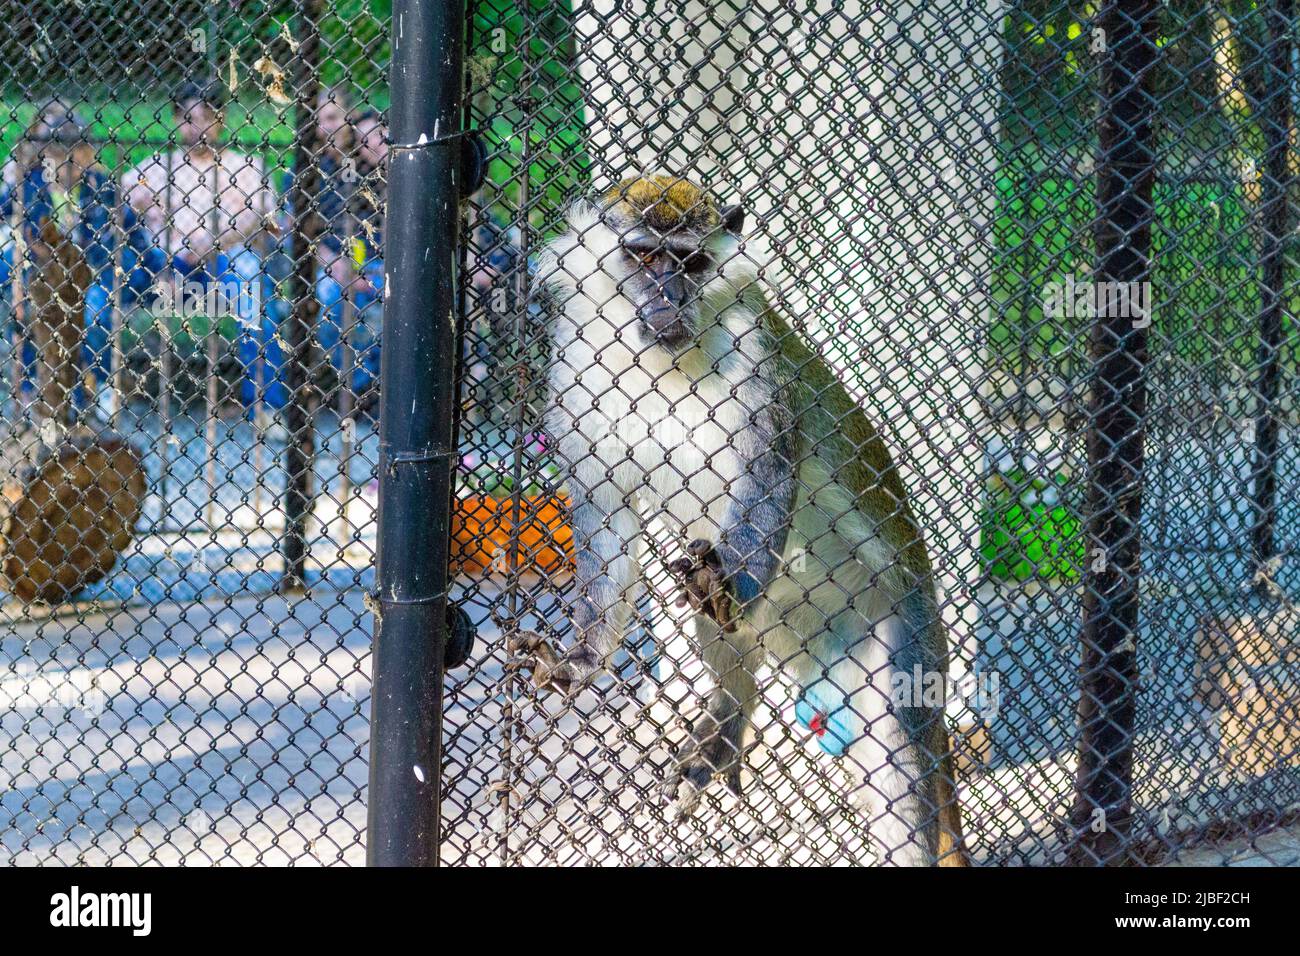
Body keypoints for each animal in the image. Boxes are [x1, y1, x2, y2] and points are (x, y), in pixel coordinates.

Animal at [512, 175, 968, 866]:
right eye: (645, 255)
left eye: (693, 263)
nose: (670, 298)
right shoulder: (576, 372)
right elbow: (608, 516)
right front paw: (584, 658)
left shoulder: (755, 358)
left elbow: (767, 474)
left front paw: (730, 586)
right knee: (701, 608)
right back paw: (732, 709)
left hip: (904, 630)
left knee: (892, 751)